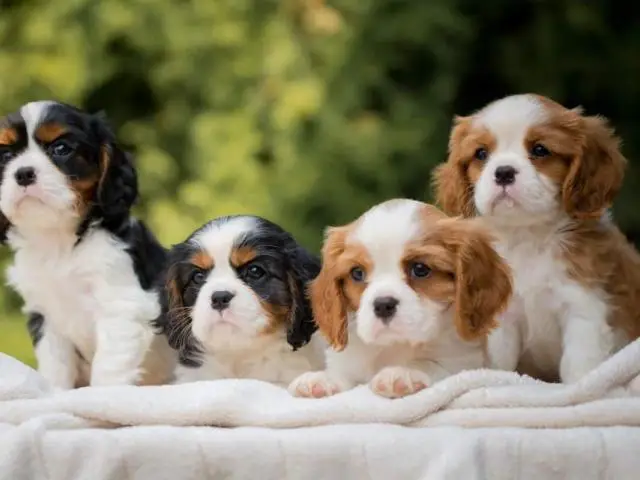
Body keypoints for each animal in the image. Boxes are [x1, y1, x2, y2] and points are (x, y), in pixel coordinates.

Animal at [0, 101, 175, 390]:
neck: (59, 242)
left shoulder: (121, 306)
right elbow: (56, 368)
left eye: (61, 149)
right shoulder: (47, 319)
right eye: (4, 155)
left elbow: (108, 368)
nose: (23, 173)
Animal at [288, 199, 512, 398]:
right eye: (357, 273)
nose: (383, 305)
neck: (393, 346)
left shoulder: (463, 363)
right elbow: (344, 374)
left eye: (420, 269)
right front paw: (323, 378)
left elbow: (431, 364)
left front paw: (403, 372)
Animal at [432, 94, 636, 382]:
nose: (503, 172)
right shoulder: (502, 320)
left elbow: (579, 368)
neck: (527, 236)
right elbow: (499, 363)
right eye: (481, 154)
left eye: (540, 150)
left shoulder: (584, 311)